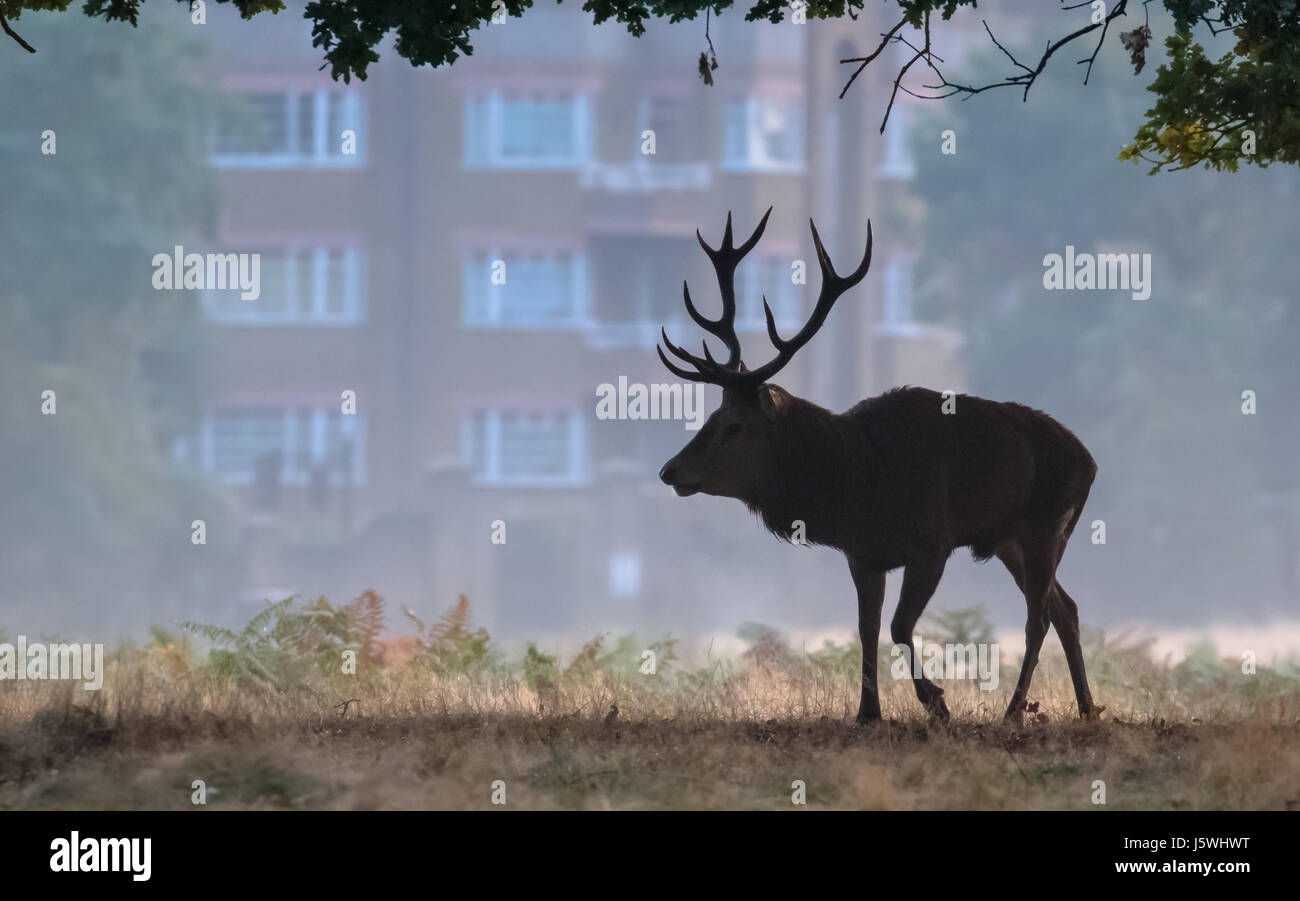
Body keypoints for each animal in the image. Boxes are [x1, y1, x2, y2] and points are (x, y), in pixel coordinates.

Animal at [656, 208, 1102, 724]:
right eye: (711, 415)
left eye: (734, 426)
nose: (669, 470)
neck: (859, 480)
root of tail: (1090, 460)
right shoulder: (862, 555)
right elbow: (866, 627)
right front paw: (868, 711)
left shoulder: (932, 542)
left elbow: (899, 625)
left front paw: (936, 701)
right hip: (1010, 539)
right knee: (1066, 607)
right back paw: (1088, 707)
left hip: (1048, 525)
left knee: (1038, 616)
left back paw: (1014, 710)